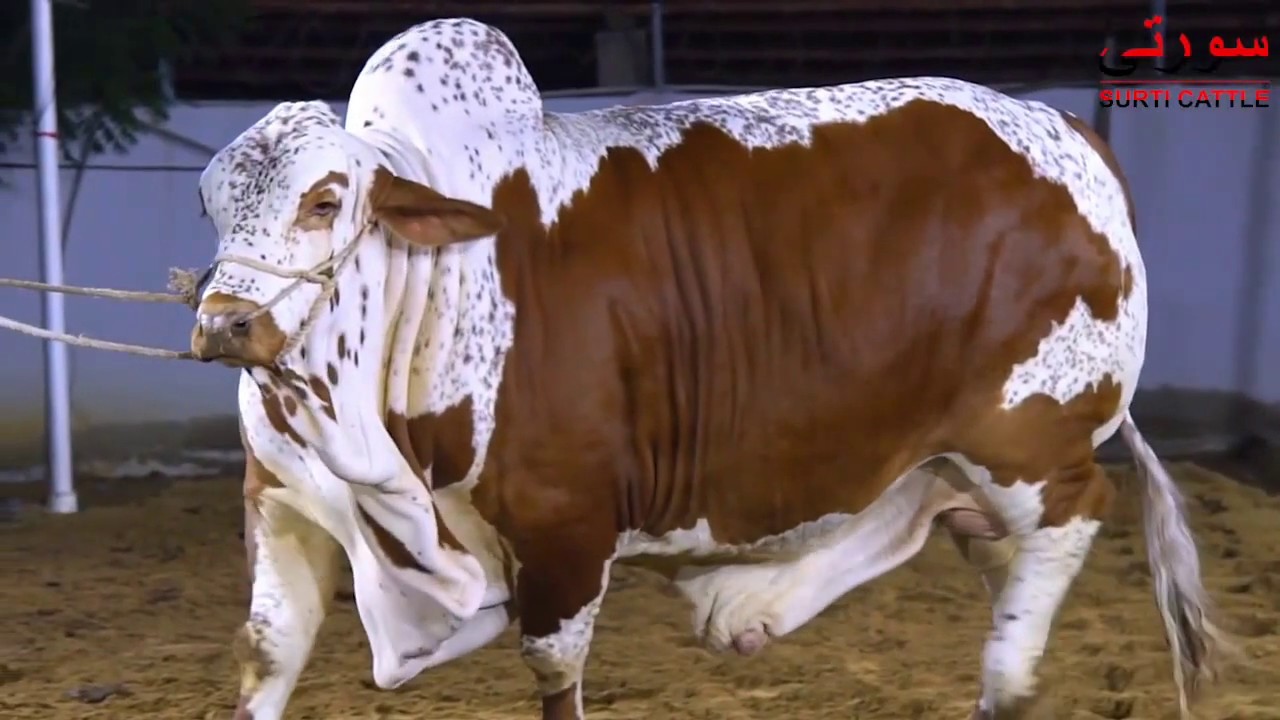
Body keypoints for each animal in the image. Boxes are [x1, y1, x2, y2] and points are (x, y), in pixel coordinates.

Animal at [188, 18, 1233, 720]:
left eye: (326, 199)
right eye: (210, 205)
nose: (225, 324)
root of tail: (1069, 133)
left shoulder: (566, 540)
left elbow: (555, 677)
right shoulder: (286, 503)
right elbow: (267, 652)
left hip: (1029, 443)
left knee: (1071, 526)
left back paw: (1006, 672)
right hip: (955, 472)